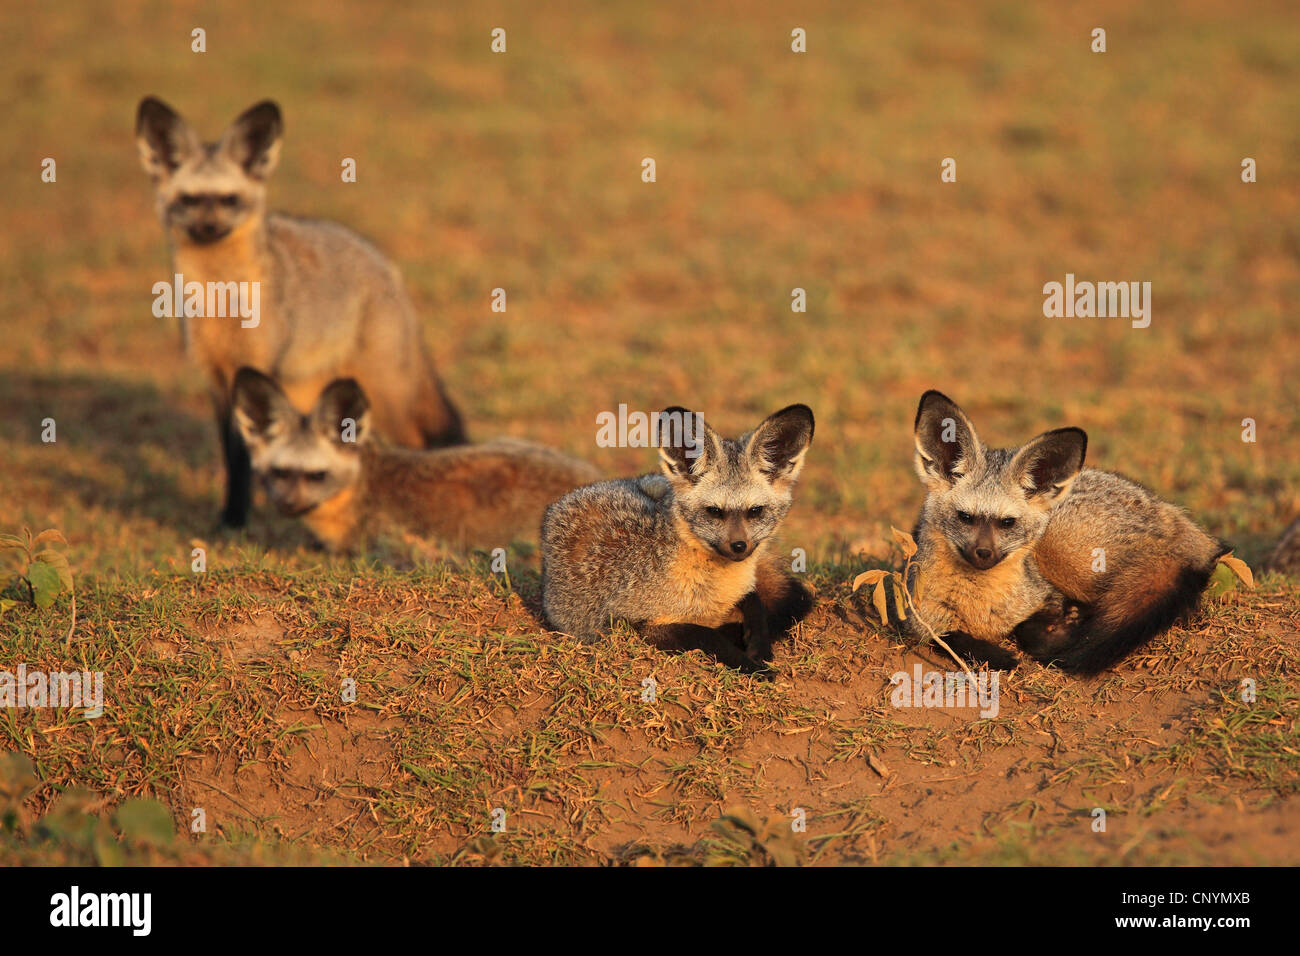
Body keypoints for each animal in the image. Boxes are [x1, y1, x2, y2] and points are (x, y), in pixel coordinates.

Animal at [136, 96, 466, 529]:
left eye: (229, 200)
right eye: (189, 200)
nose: (209, 228)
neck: (222, 301)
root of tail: (382, 261)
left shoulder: (254, 364)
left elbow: (242, 454)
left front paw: (237, 520)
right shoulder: (217, 377)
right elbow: (236, 452)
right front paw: (232, 513)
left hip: (388, 393)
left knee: (422, 441)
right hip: (310, 390)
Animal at [540, 404, 816, 674]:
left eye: (755, 511)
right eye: (714, 511)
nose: (739, 546)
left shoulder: (741, 590)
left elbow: (754, 601)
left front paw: (759, 645)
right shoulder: (638, 625)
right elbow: (704, 634)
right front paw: (751, 665)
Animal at [899, 390, 1228, 674]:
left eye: (1007, 523)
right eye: (965, 517)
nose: (983, 553)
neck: (981, 609)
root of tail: (1180, 522)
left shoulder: (1047, 593)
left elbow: (1029, 631)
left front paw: (1061, 629)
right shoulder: (921, 624)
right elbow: (950, 637)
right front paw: (997, 655)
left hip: (1060, 549)